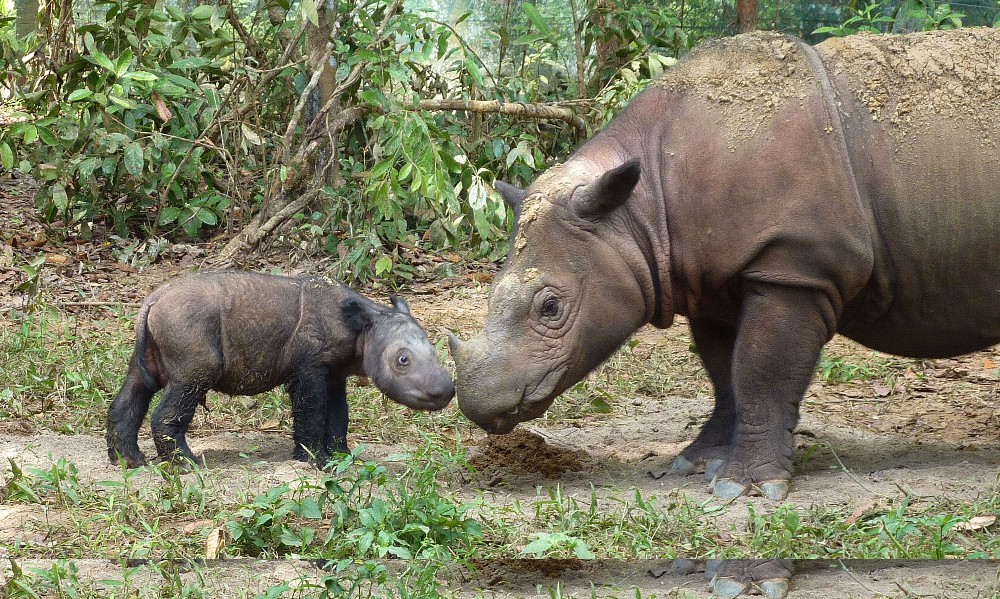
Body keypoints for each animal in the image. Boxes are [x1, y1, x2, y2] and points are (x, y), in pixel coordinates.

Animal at [107, 271, 454, 468]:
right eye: (403, 360)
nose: (446, 391)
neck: (364, 327)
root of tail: (152, 300)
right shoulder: (309, 368)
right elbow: (312, 412)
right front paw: (316, 462)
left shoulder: (334, 373)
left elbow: (338, 415)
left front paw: (343, 457)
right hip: (186, 325)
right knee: (189, 382)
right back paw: (187, 465)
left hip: (159, 331)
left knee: (137, 385)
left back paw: (129, 462)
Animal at [450, 29, 1000, 502]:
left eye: (550, 307)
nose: (477, 405)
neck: (638, 211)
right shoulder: (708, 278)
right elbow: (724, 371)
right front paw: (698, 462)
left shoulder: (794, 267)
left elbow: (760, 369)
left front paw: (747, 487)